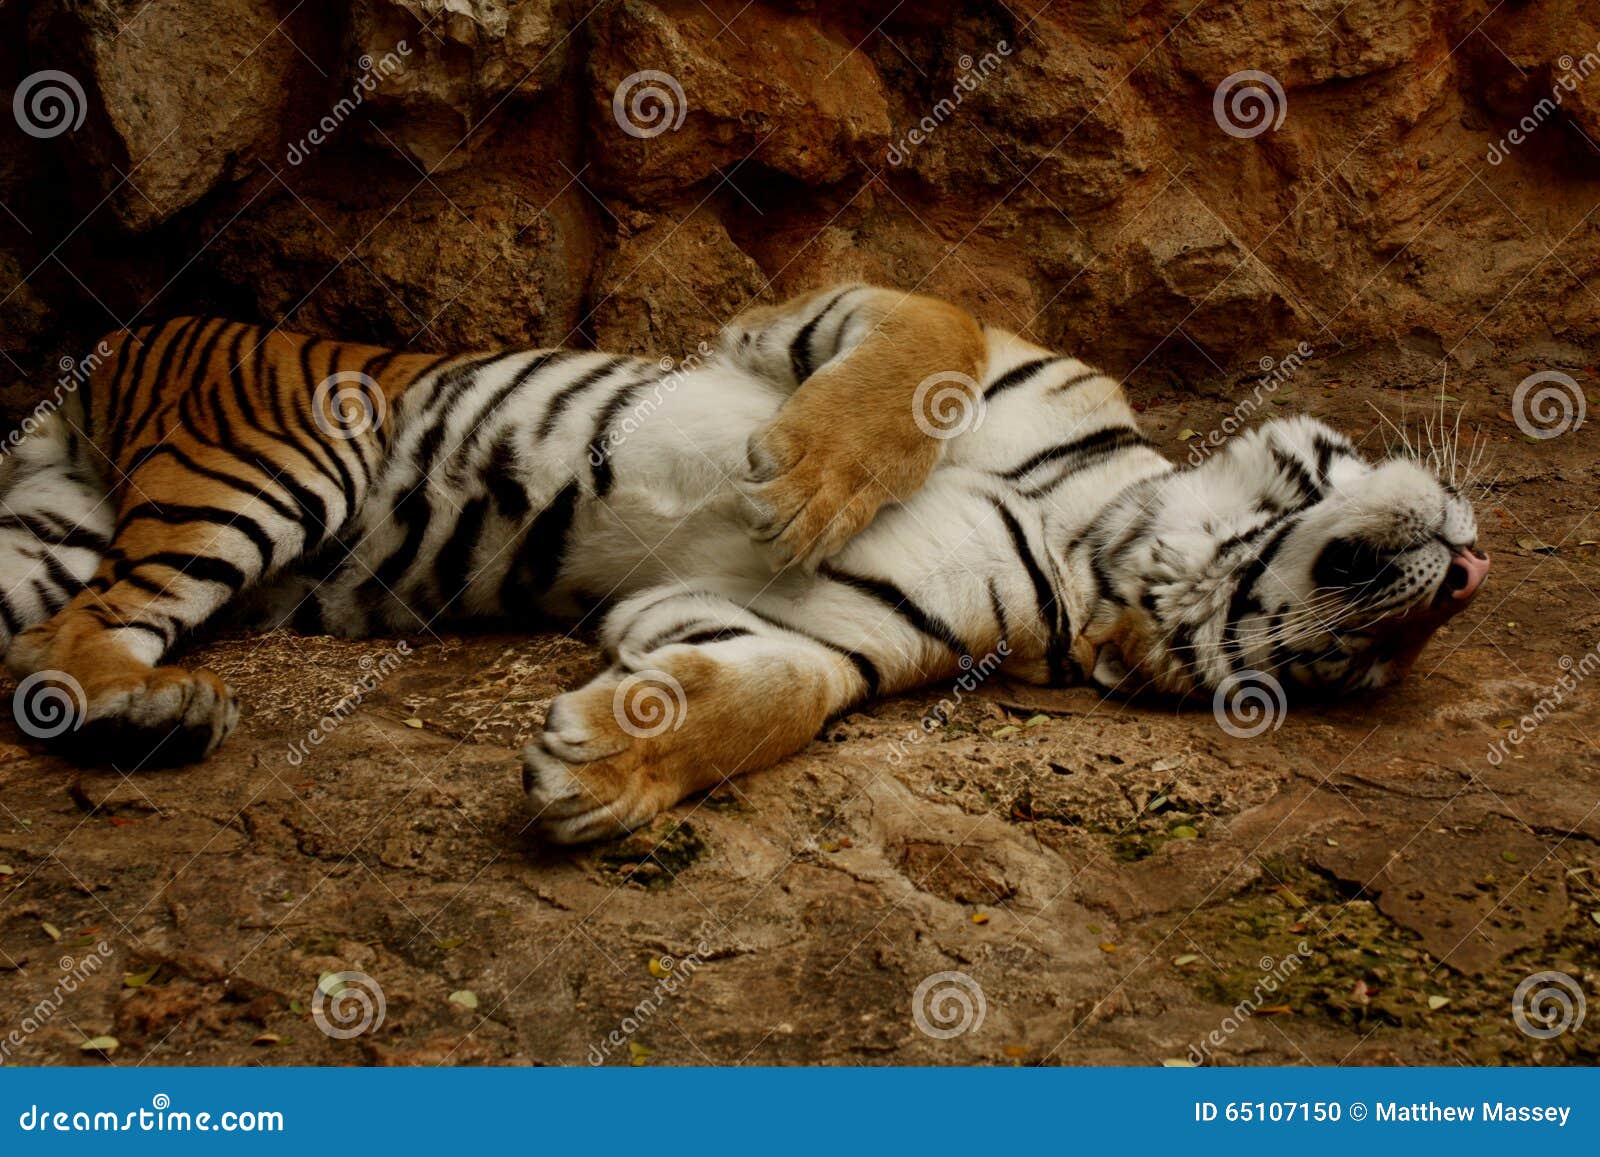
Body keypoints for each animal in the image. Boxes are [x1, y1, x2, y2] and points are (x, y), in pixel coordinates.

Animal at [0, 284, 1489, 843]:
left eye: (1350, 681)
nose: (1471, 572)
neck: (1098, 533)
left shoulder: (781, 622)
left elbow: (782, 693)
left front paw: (601, 765)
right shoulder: (851, 314)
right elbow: (931, 343)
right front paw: (809, 475)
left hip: (63, 532)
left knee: (41, 646)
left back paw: (147, 715)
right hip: (266, 463)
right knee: (83, 628)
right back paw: (155, 708)